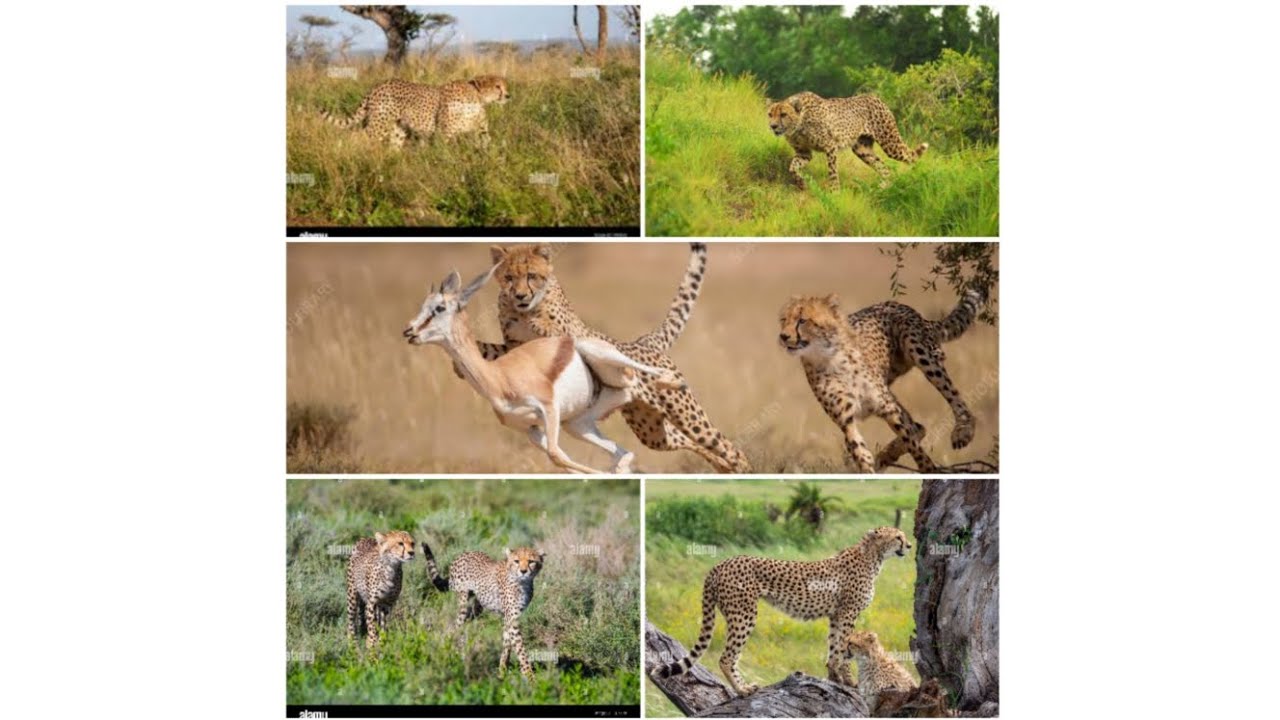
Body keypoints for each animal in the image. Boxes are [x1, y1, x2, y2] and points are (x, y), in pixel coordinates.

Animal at [404, 266, 685, 474]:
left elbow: (556, 455)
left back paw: (673, 381)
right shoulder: (529, 429)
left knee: (640, 374)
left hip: (595, 357)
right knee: (624, 452)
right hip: (578, 424)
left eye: (439, 308)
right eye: (421, 306)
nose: (409, 331)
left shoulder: (549, 408)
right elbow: (561, 459)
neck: (498, 378)